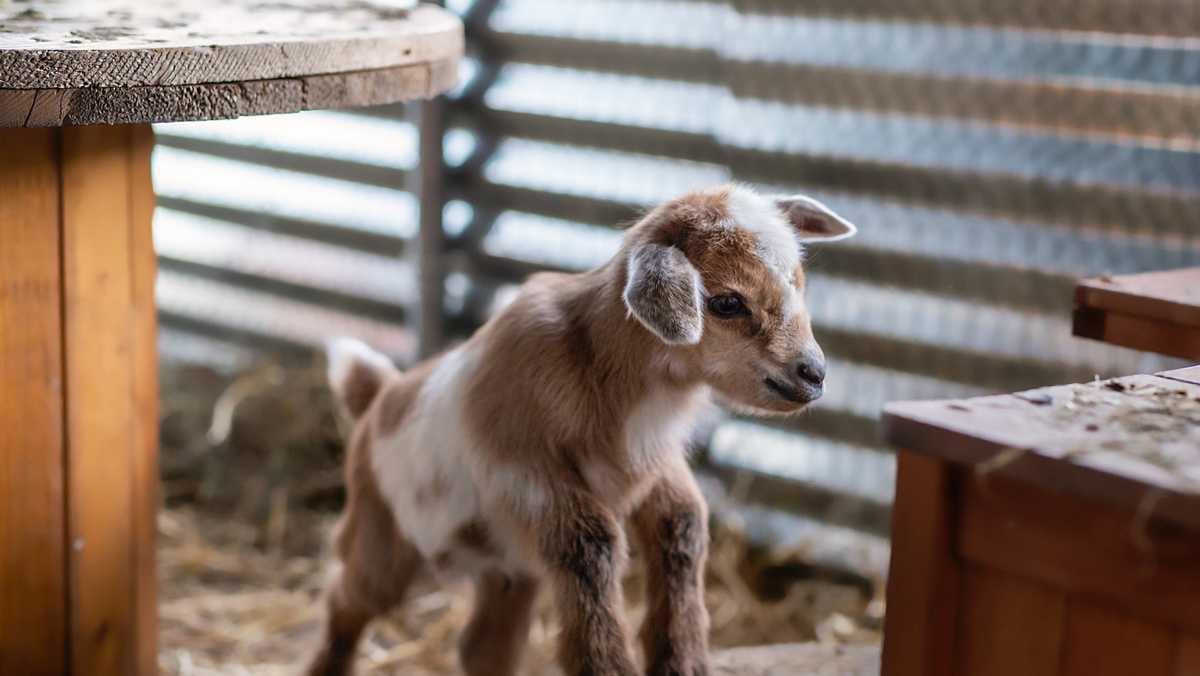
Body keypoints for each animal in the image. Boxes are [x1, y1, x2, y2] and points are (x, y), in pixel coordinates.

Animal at [303, 184, 857, 676]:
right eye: (725, 302)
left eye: (798, 279)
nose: (813, 374)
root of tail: (379, 394)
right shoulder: (530, 478)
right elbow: (592, 548)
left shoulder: (651, 465)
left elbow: (683, 524)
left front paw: (682, 661)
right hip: (383, 537)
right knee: (346, 598)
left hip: (507, 570)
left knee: (482, 647)